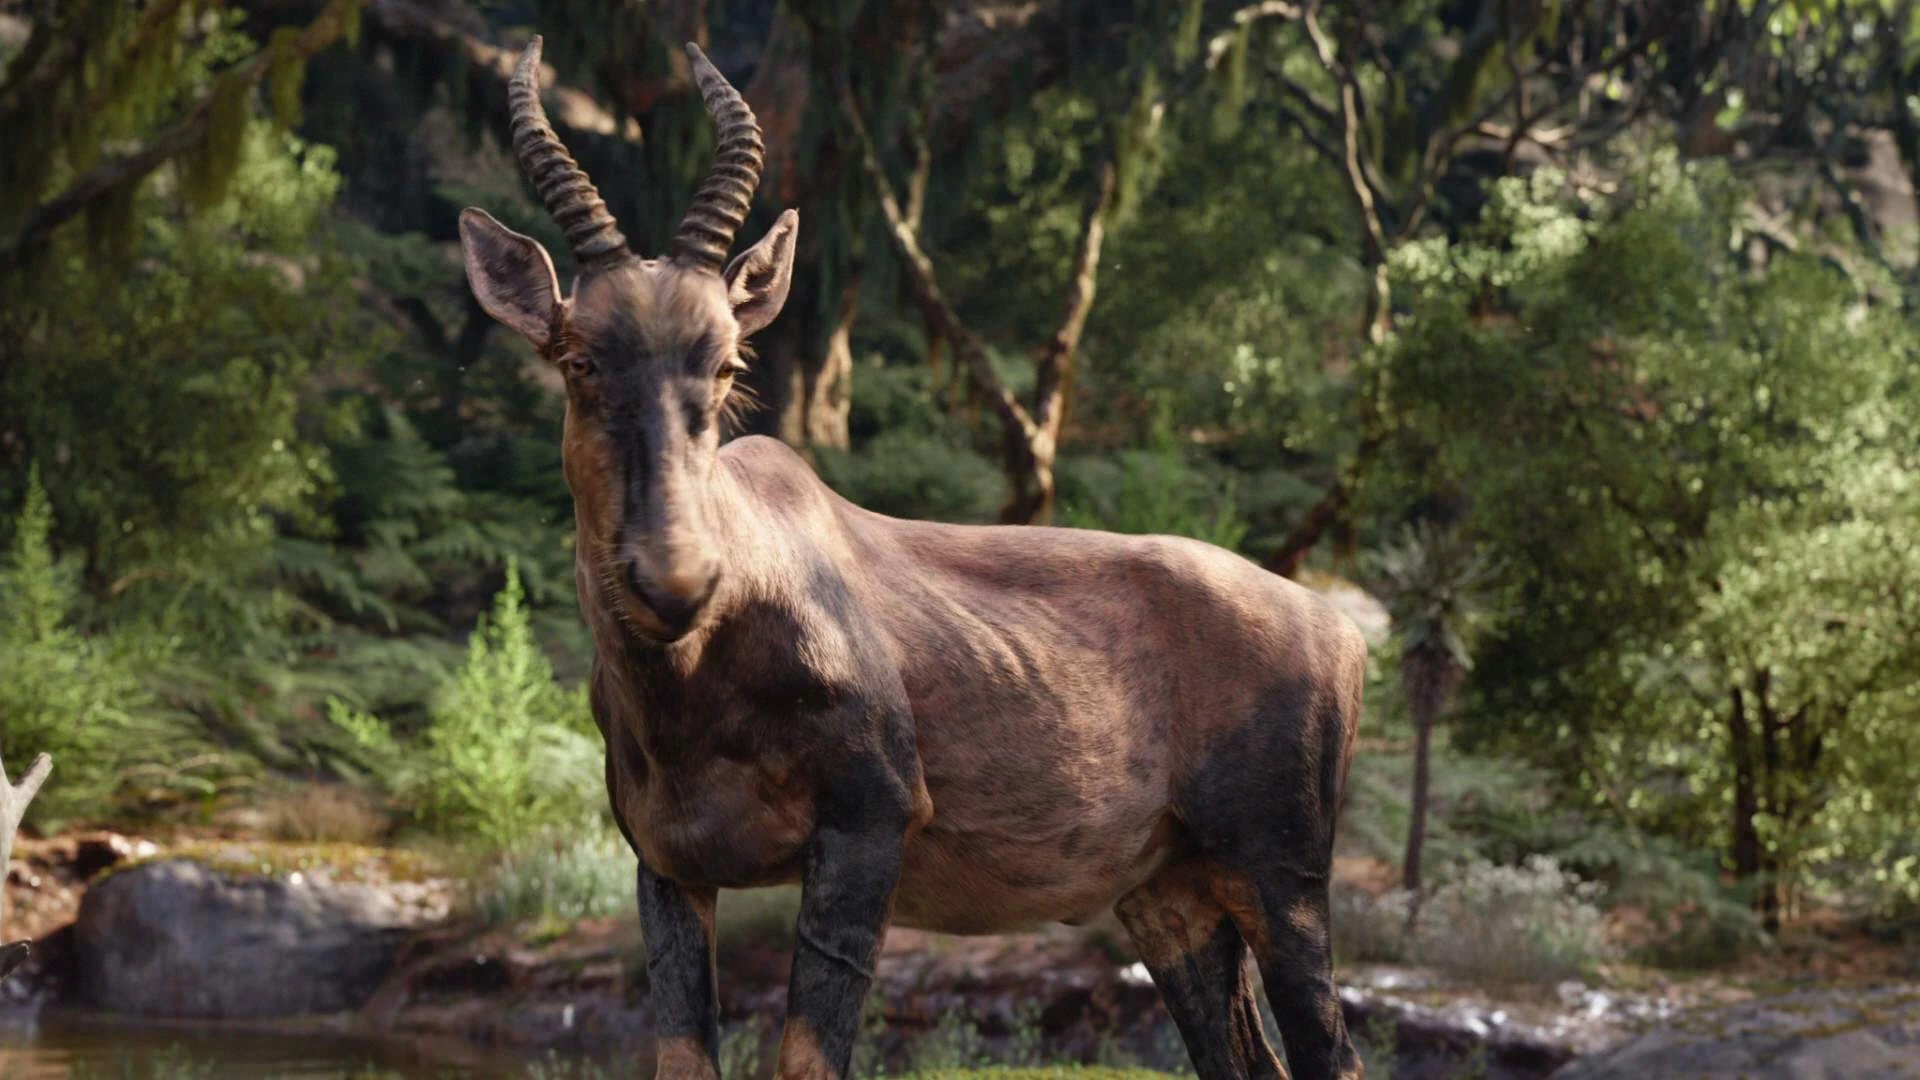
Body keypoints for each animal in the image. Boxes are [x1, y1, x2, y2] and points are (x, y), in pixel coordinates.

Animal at [459, 37, 1367, 1080]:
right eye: (580, 359)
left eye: (726, 362)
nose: (675, 580)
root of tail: (1338, 629)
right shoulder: (667, 865)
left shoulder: (869, 826)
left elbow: (810, 1054)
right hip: (1170, 896)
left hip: (1283, 879)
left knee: (1333, 1050)